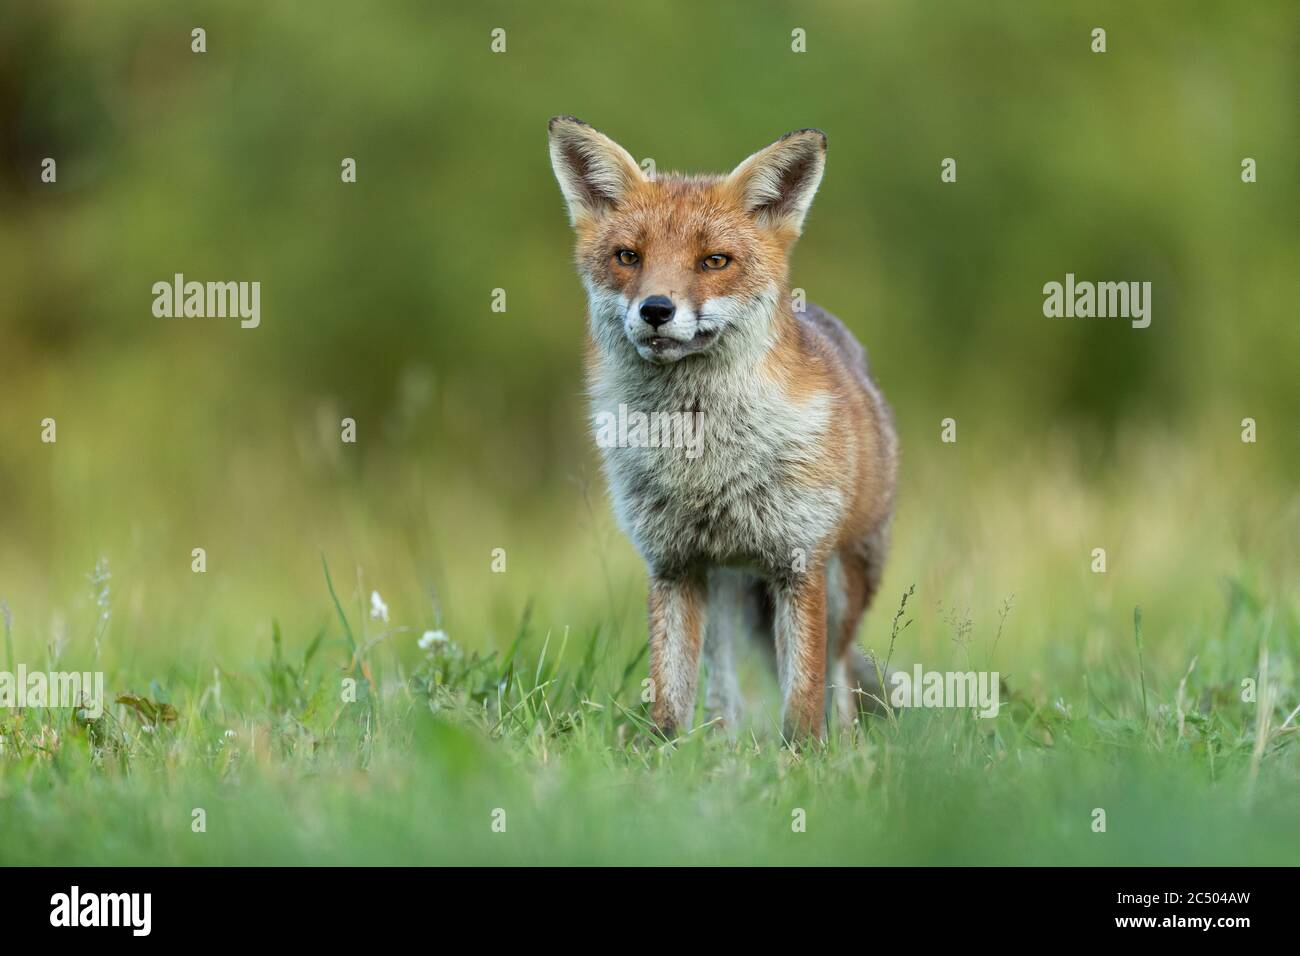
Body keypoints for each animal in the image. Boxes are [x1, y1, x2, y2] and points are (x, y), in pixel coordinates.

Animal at [548, 117, 898, 742]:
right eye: (628, 256)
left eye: (714, 261)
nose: (656, 309)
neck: (704, 459)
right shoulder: (673, 565)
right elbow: (670, 694)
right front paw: (663, 755)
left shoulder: (799, 564)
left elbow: (803, 693)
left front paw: (802, 756)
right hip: (725, 589)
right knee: (723, 683)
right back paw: (720, 742)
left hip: (845, 582)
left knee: (838, 671)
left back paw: (845, 744)